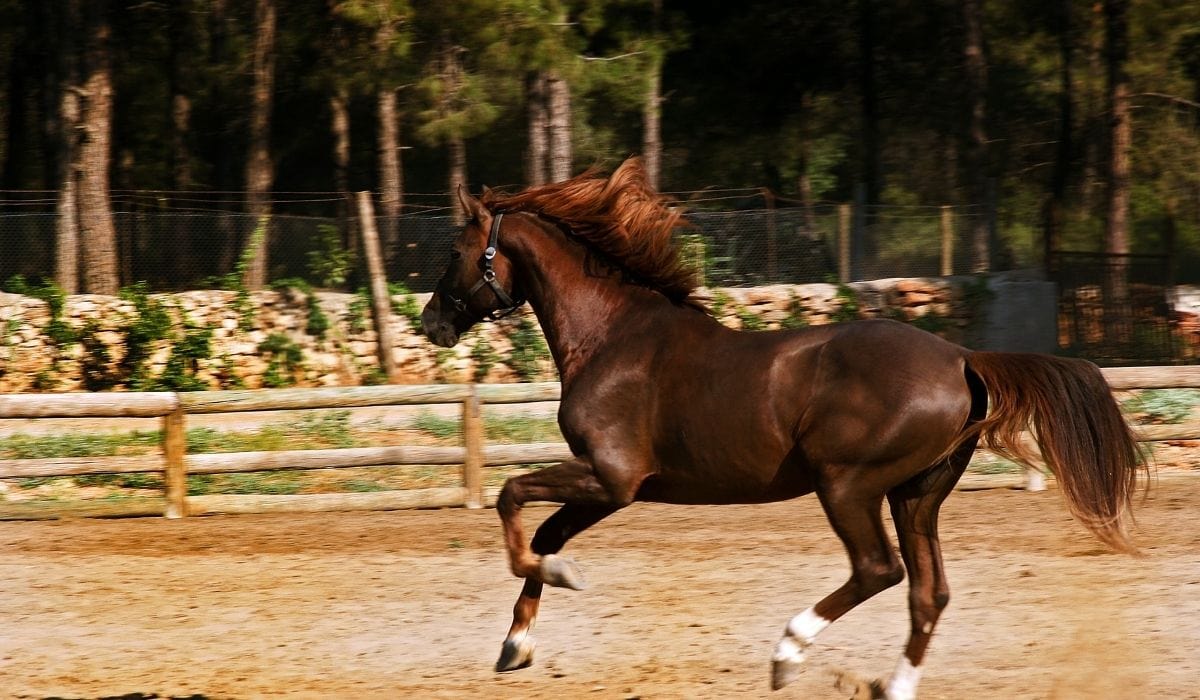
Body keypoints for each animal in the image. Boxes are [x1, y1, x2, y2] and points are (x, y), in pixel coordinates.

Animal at [419, 157, 1145, 699]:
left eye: (456, 250)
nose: (432, 322)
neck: (611, 337)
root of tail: (964, 358)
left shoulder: (611, 477)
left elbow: (513, 501)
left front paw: (562, 581)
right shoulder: (613, 487)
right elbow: (542, 532)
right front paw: (516, 645)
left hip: (848, 485)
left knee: (879, 570)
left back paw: (788, 652)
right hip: (915, 494)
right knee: (929, 592)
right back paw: (889, 685)